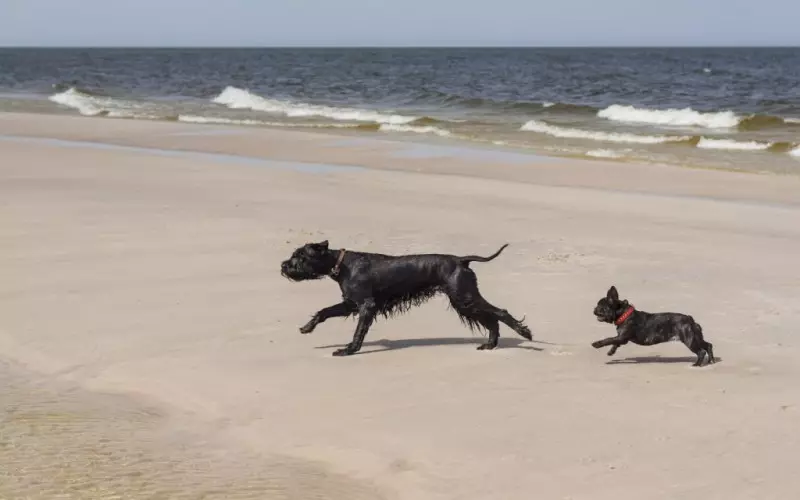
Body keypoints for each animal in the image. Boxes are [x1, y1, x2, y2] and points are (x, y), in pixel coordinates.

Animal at [280, 241, 532, 356]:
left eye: (300, 256)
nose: (283, 266)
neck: (342, 266)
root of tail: (461, 260)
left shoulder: (366, 306)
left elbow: (359, 331)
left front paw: (349, 349)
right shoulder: (350, 303)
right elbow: (324, 311)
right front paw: (307, 327)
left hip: (463, 297)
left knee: (499, 313)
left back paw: (523, 333)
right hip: (464, 300)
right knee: (492, 318)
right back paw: (490, 344)